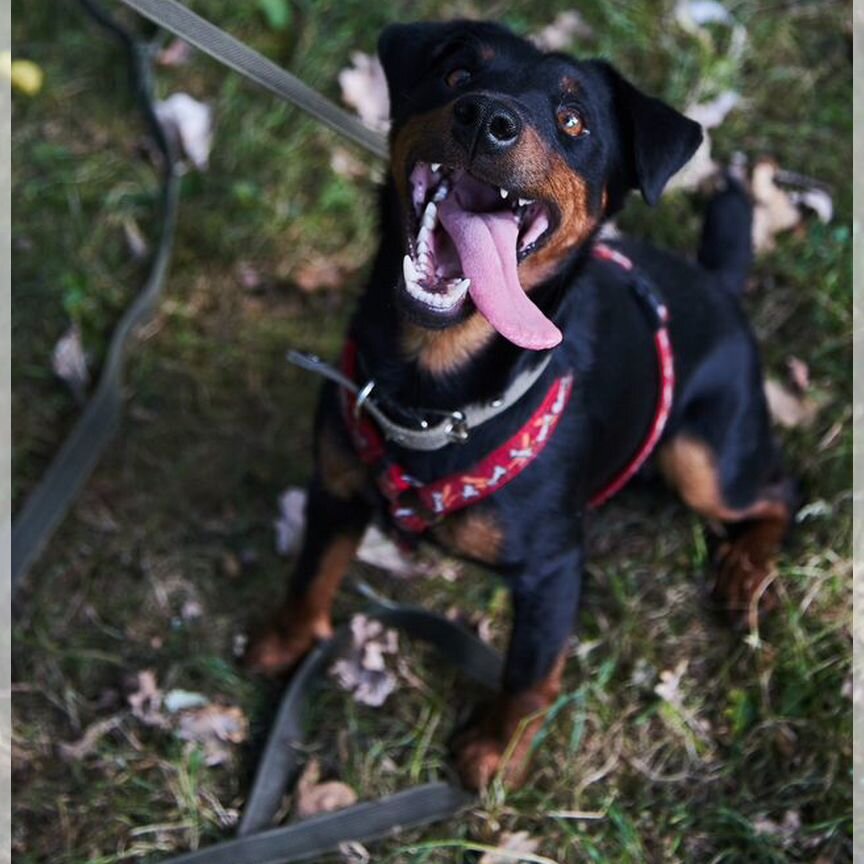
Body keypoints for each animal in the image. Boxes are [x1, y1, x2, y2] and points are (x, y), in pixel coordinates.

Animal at [245, 20, 796, 788]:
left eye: (573, 122)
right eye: (457, 79)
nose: (486, 118)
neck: (435, 386)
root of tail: (718, 283)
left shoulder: (552, 570)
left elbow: (530, 672)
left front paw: (494, 751)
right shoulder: (337, 489)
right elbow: (311, 577)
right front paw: (284, 642)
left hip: (703, 460)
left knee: (778, 491)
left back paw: (745, 573)